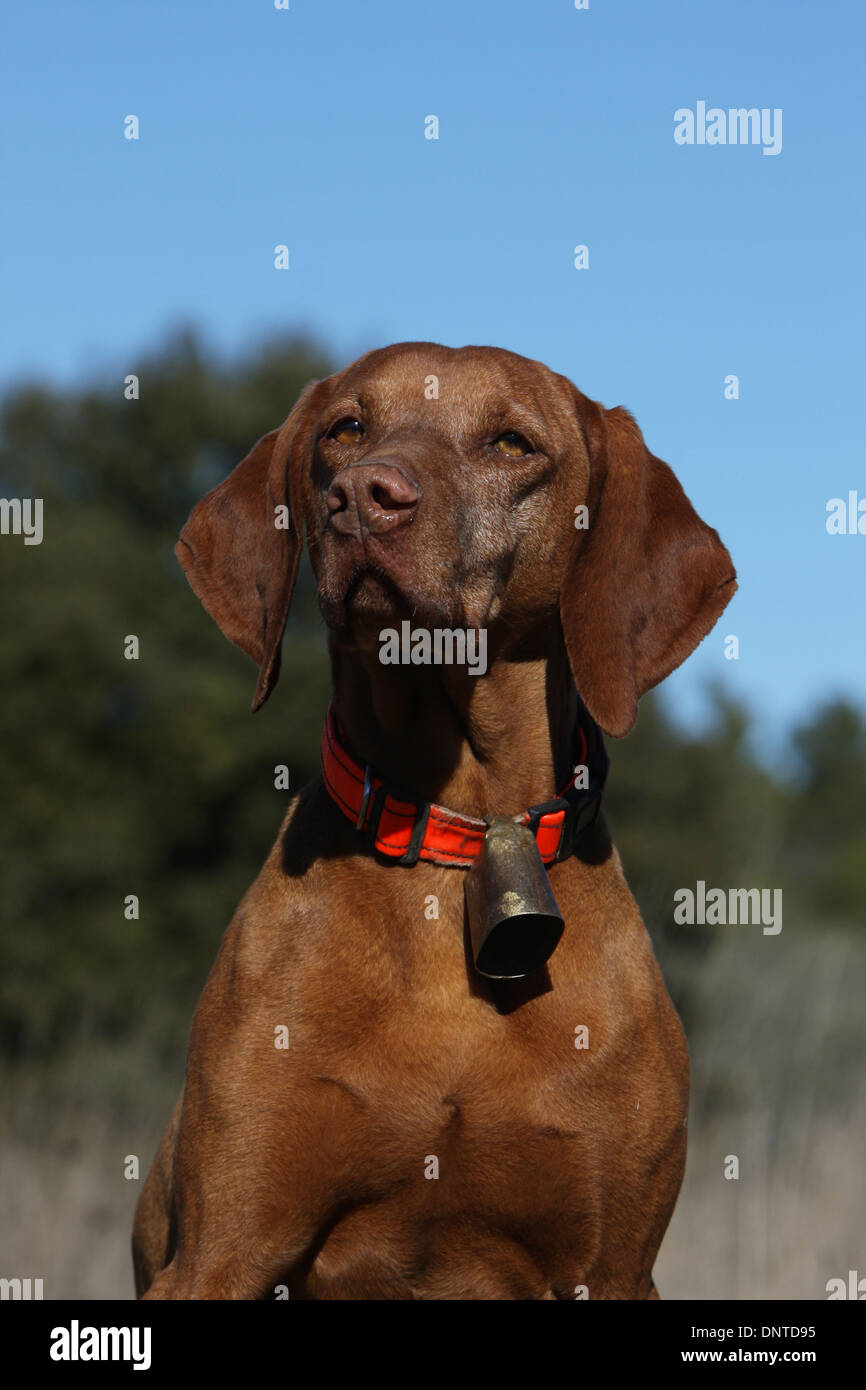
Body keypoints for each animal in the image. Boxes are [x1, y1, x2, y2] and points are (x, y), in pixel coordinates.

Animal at [132, 341, 733, 1295]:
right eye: (346, 429)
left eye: (512, 443)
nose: (362, 494)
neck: (464, 831)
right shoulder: (222, 1249)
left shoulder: (611, 1267)